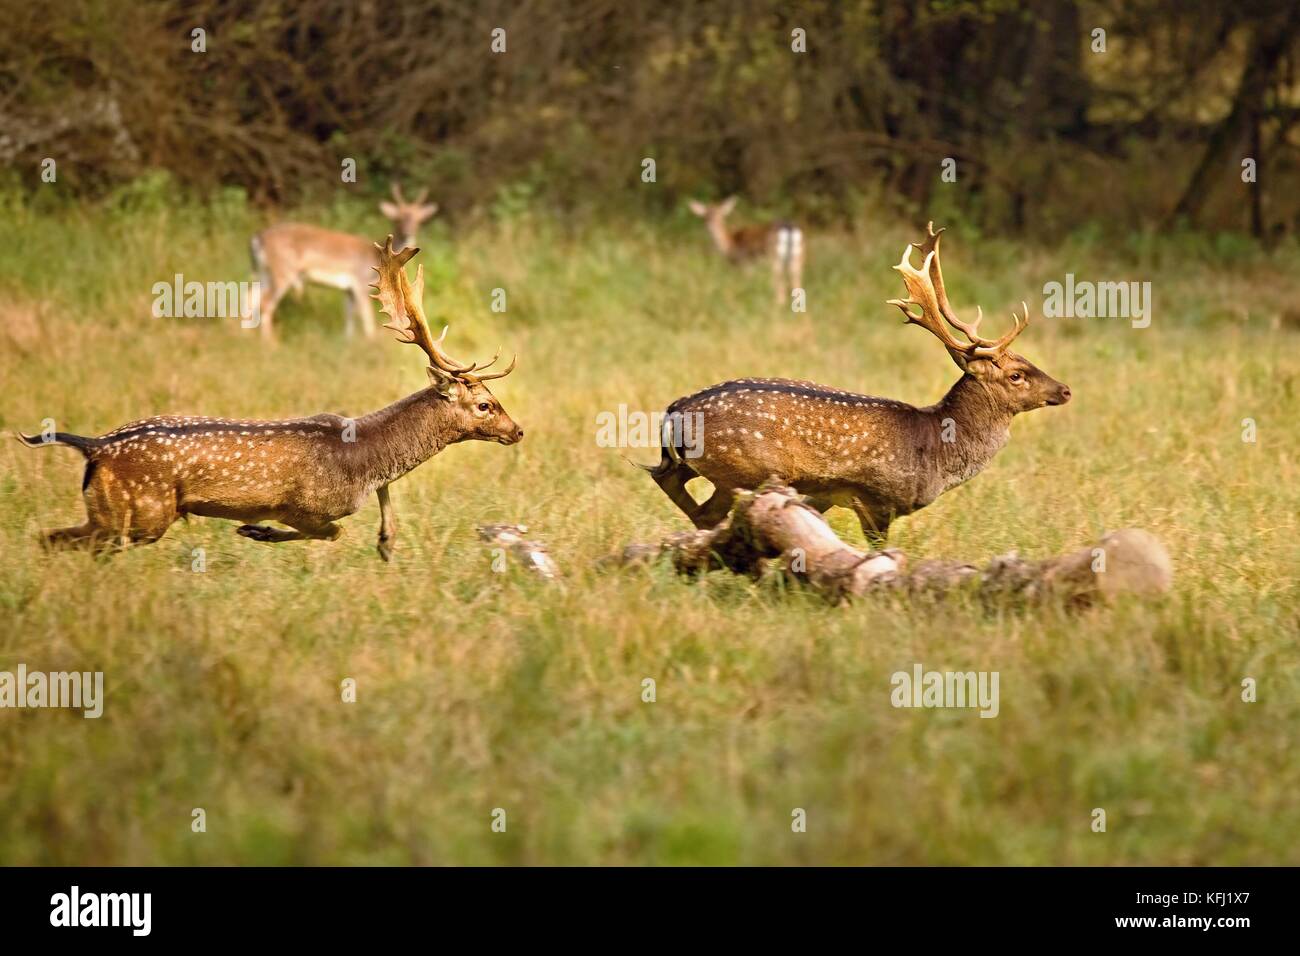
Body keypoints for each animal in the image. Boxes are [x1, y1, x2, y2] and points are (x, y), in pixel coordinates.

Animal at [18, 237, 522, 561]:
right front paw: (254, 529)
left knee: (49, 538)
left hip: (110, 513)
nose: (517, 430)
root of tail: (93, 447)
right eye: (485, 404)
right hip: (141, 512)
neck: (364, 455)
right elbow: (334, 531)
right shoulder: (308, 507)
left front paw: (386, 542)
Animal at [247, 184, 439, 339]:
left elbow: (349, 317)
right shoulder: (361, 282)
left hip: (264, 272)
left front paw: (348, 342)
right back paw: (270, 344)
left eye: (418, 219)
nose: (408, 232)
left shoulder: (349, 289)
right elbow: (367, 320)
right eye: (397, 218)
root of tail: (258, 238)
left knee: (251, 298)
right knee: (265, 303)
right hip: (283, 270)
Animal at [641, 222, 1071, 544]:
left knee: (669, 480)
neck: (937, 449)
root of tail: (675, 410)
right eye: (1016, 375)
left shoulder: (825, 496)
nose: (1064, 389)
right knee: (703, 510)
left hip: (696, 464)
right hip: (742, 469)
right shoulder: (876, 499)